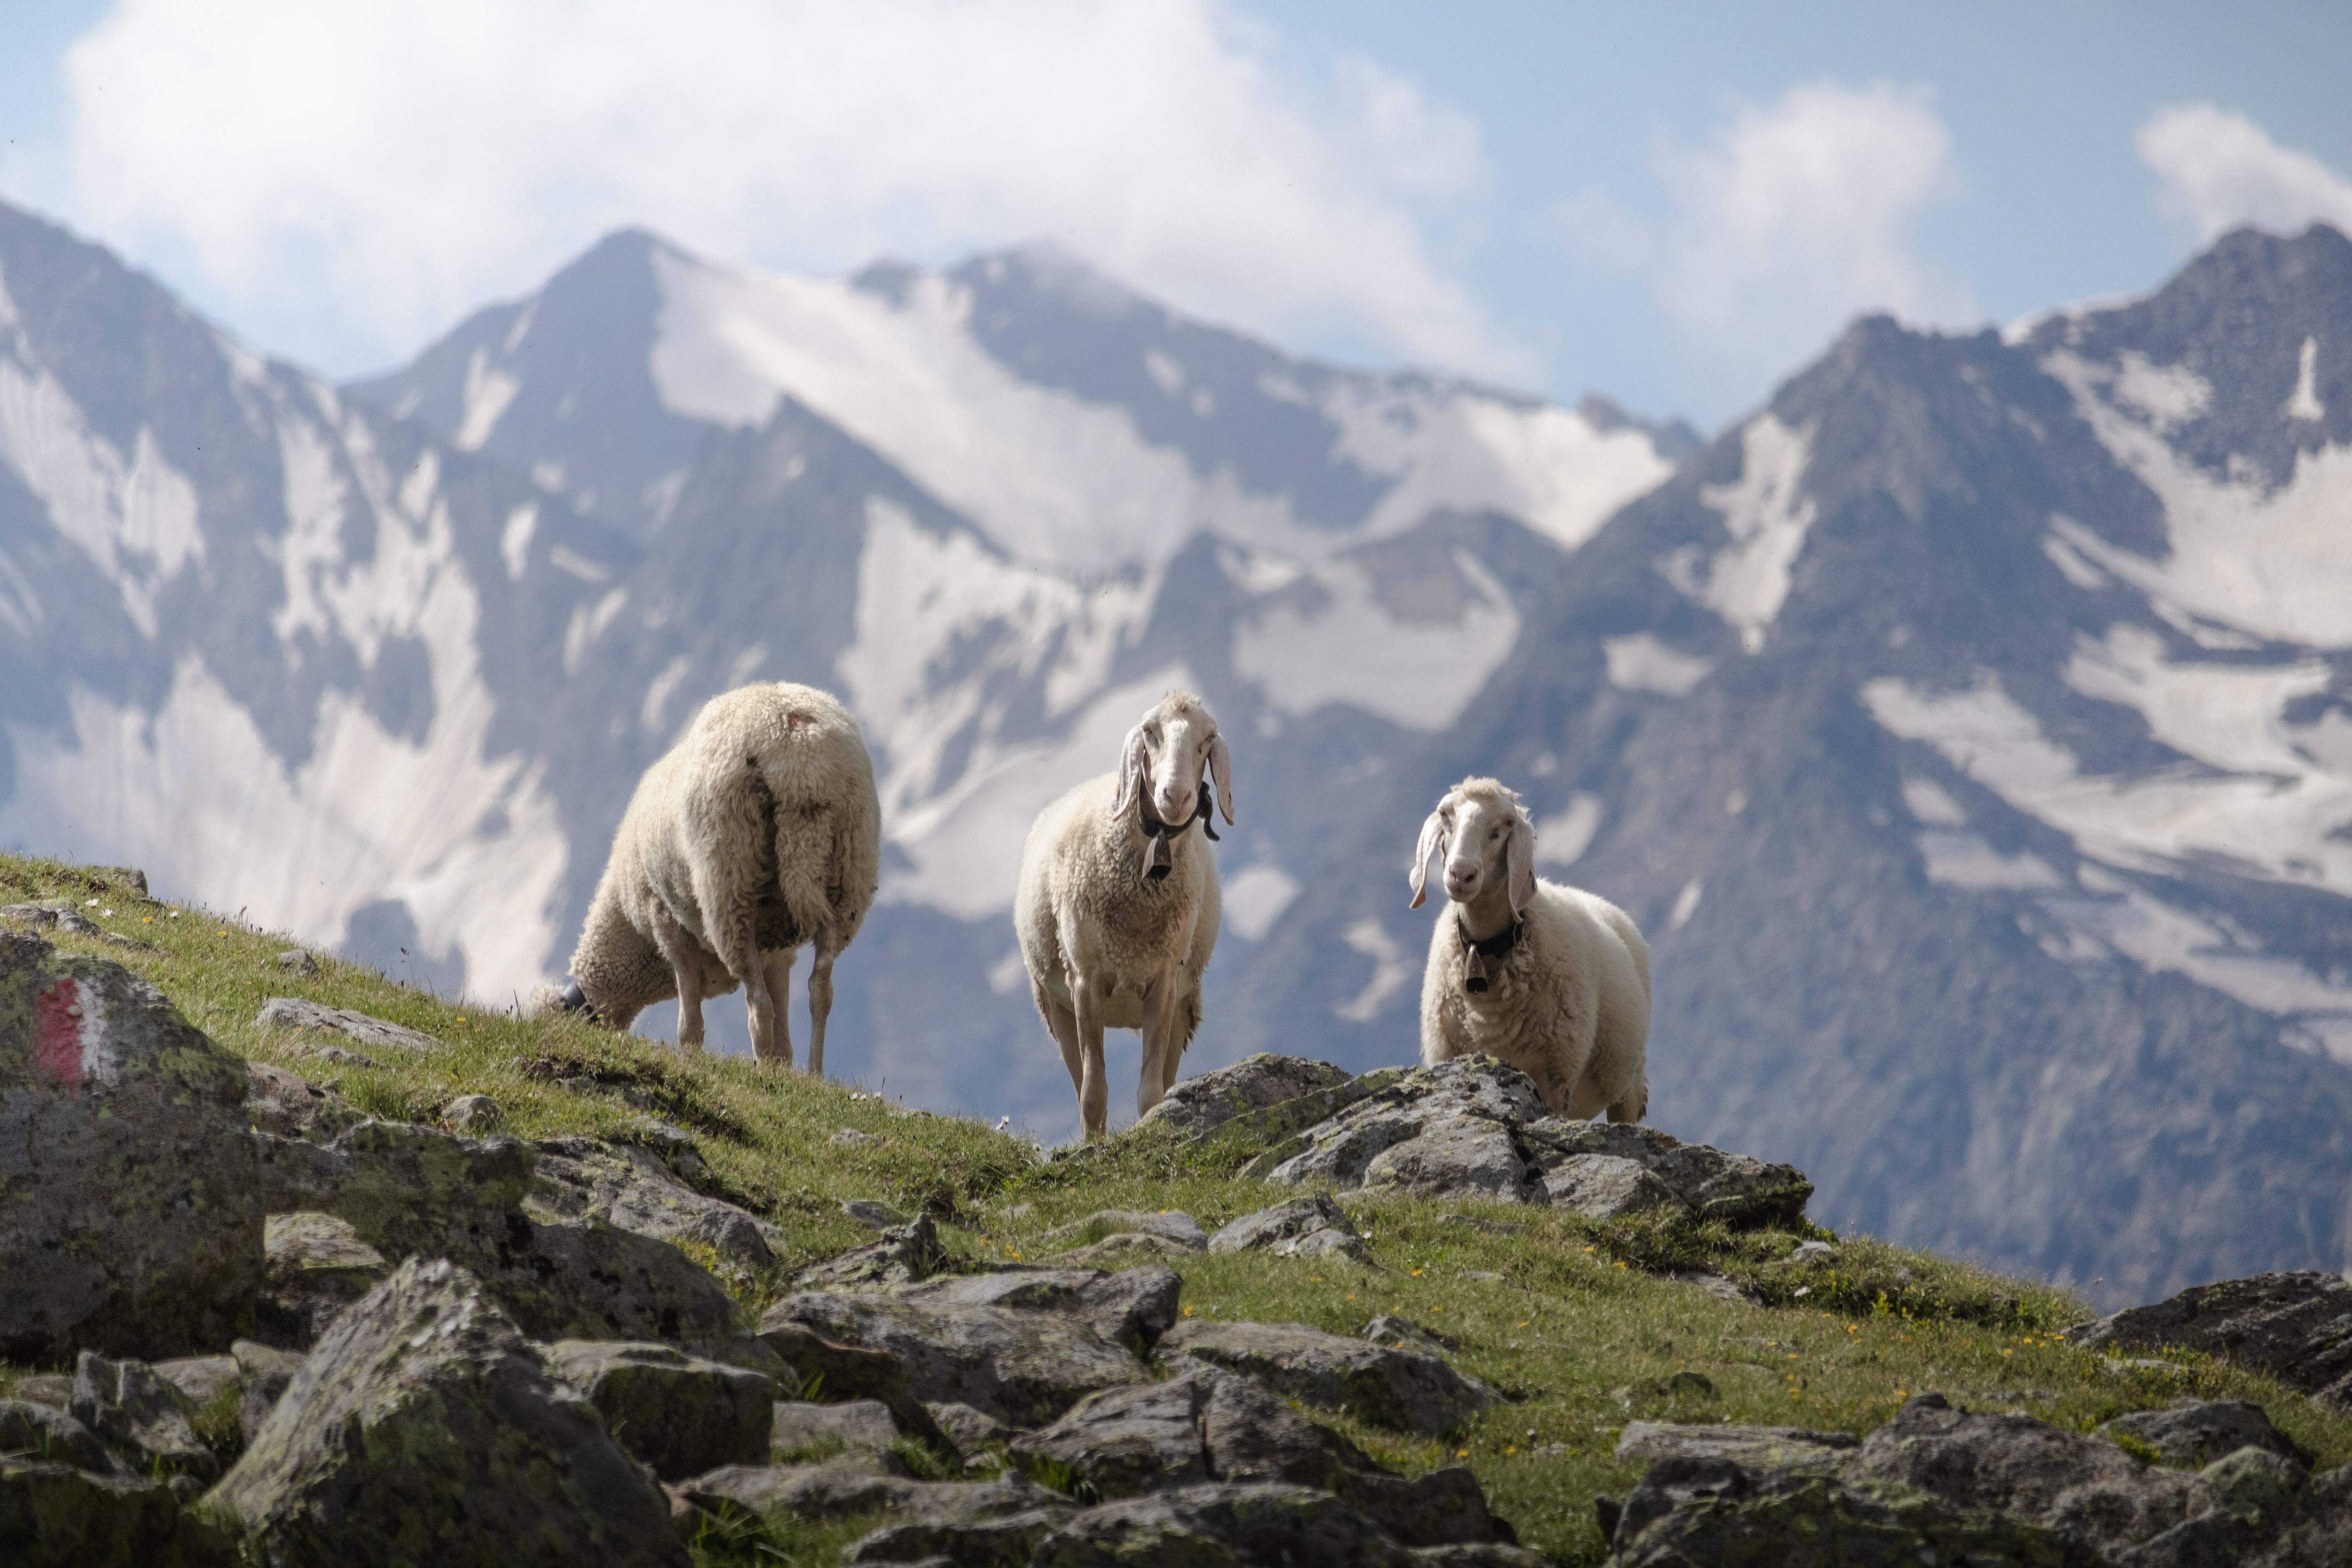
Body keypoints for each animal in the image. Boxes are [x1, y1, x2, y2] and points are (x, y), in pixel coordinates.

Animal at [542, 681, 880, 1073]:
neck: (631, 933)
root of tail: (798, 751)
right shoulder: (777, 952)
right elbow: (784, 1037)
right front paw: (784, 1072)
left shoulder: (667, 925)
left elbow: (690, 1025)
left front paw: (692, 1061)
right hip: (849, 871)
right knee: (820, 989)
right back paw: (814, 1075)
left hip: (730, 884)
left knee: (757, 1005)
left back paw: (763, 1073)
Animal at [1015, 689, 1233, 1140]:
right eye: (1149, 732)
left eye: (1208, 739)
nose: (1175, 797)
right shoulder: (1085, 980)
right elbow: (1093, 1093)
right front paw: (1092, 1146)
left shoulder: (1164, 983)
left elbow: (1152, 1092)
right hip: (1054, 1003)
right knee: (1078, 1076)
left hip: (1185, 1008)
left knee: (1167, 1080)